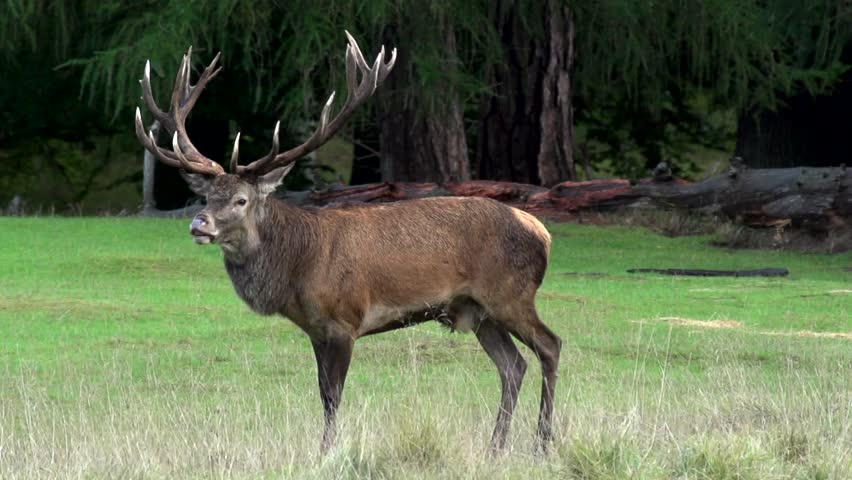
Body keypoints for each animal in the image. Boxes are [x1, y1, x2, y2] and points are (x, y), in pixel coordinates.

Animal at [133, 32, 562, 454]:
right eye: (207, 196)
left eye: (241, 200)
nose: (198, 223)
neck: (297, 267)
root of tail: (542, 232)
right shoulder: (315, 330)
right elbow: (322, 392)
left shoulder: (344, 320)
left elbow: (333, 396)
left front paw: (327, 452)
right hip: (478, 310)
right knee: (513, 365)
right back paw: (495, 446)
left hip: (509, 294)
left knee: (550, 345)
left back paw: (541, 442)